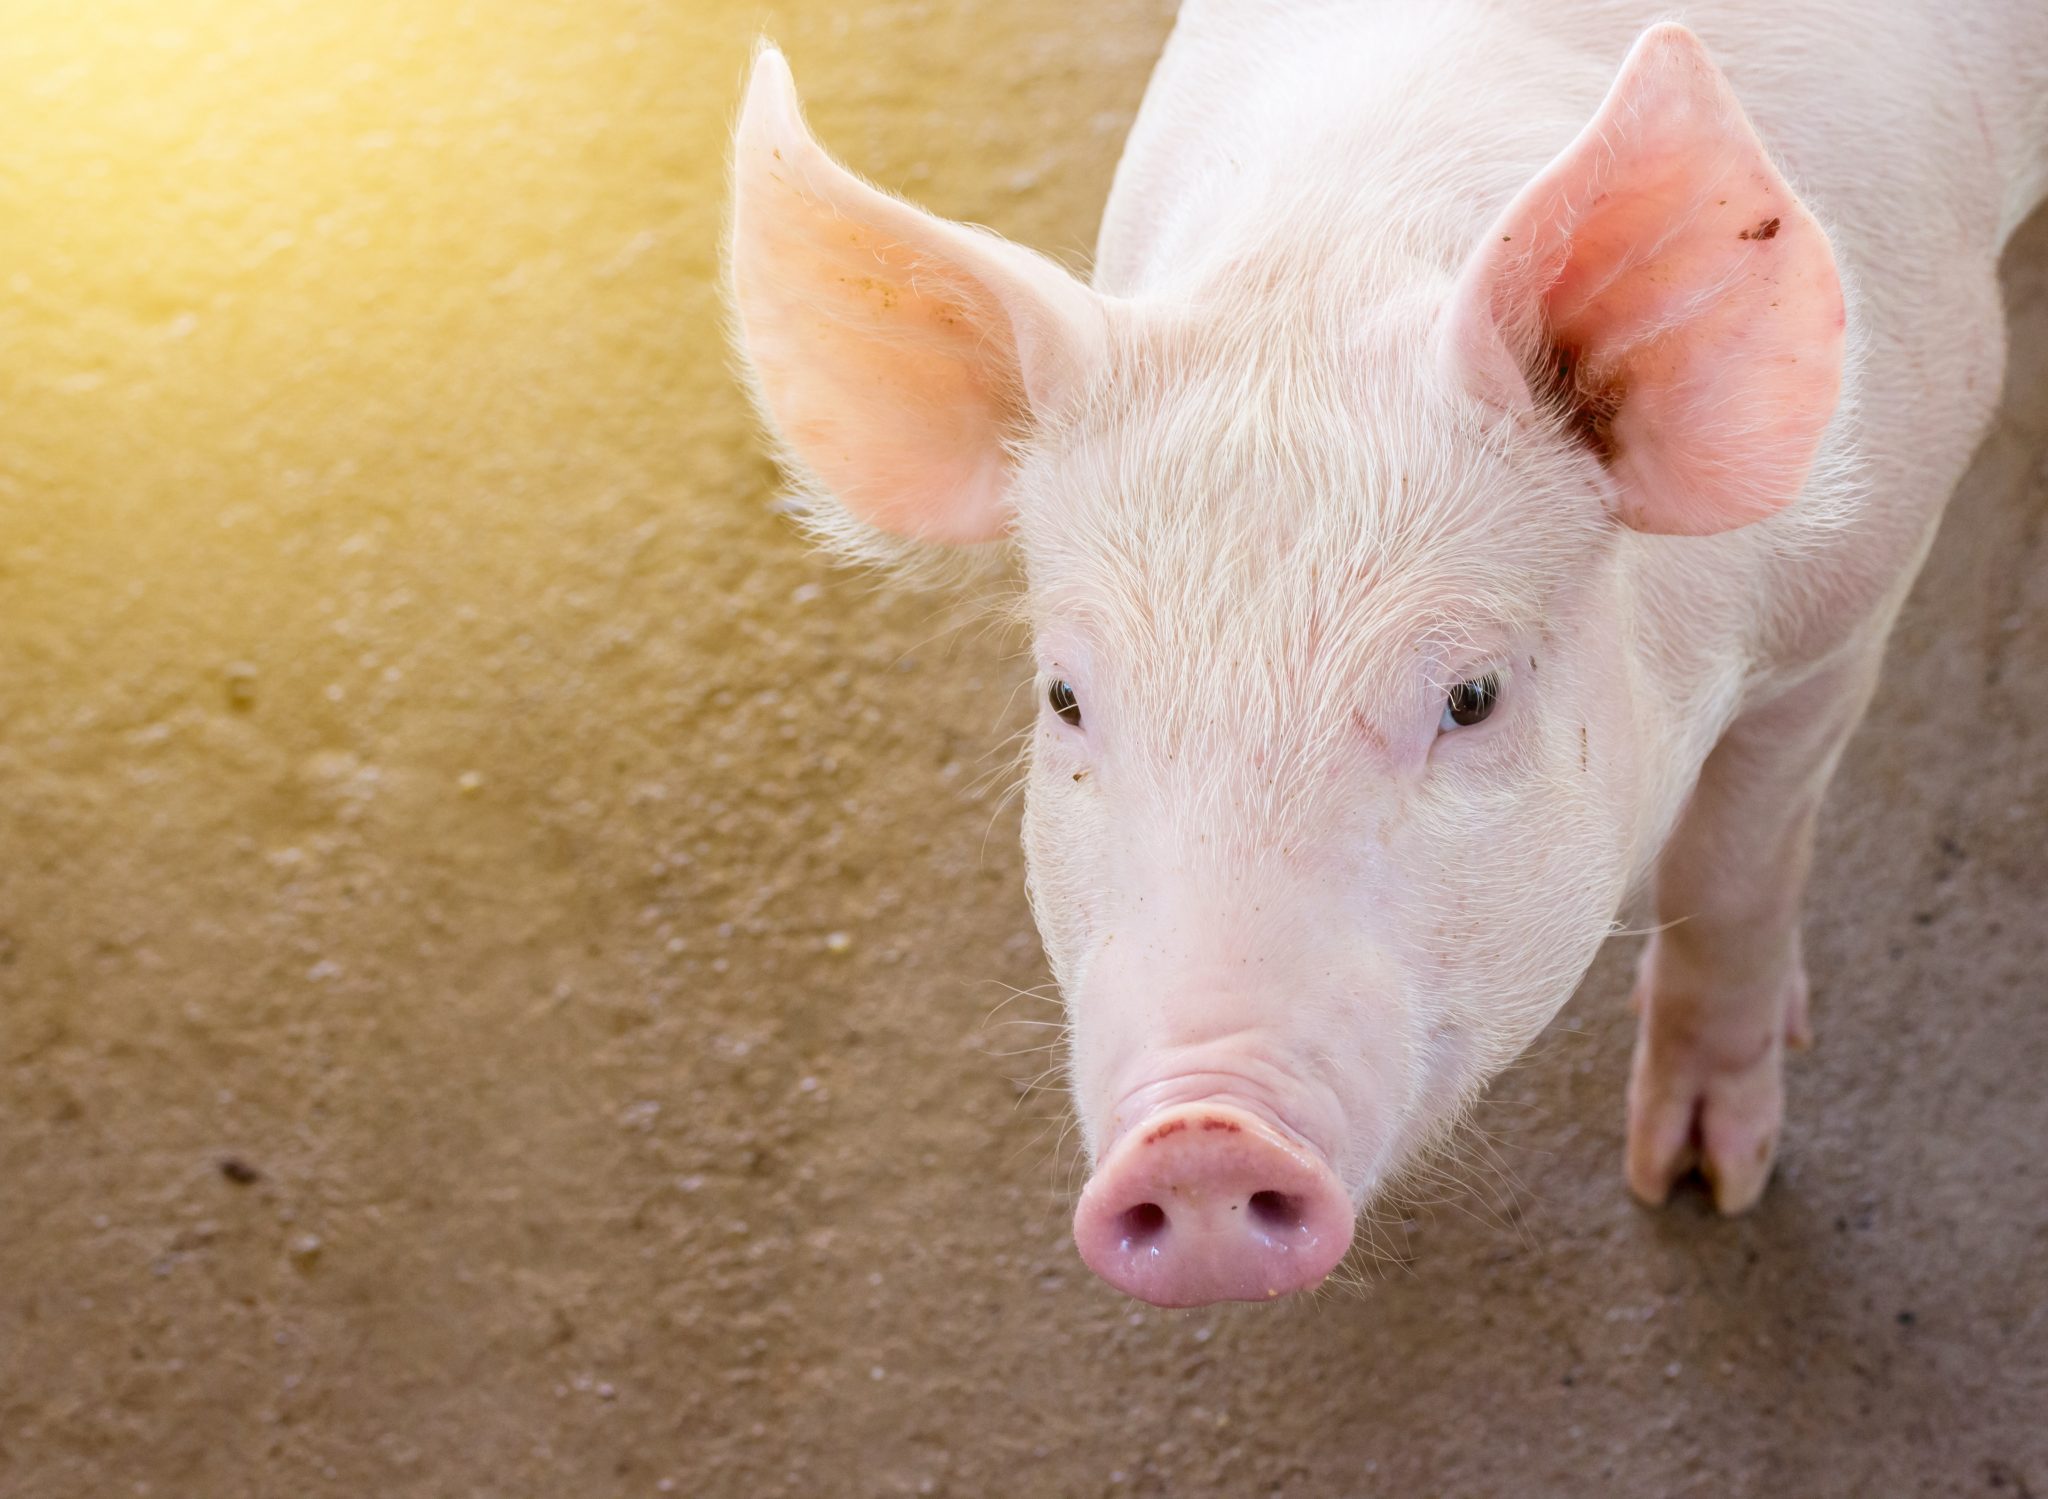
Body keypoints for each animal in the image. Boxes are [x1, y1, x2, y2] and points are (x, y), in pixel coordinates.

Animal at [725, 4, 2048, 1307]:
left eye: (1470, 695)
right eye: (1063, 698)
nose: (1198, 1139)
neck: (1329, 262)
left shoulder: (1854, 594)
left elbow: (1731, 873)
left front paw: (1698, 1184)